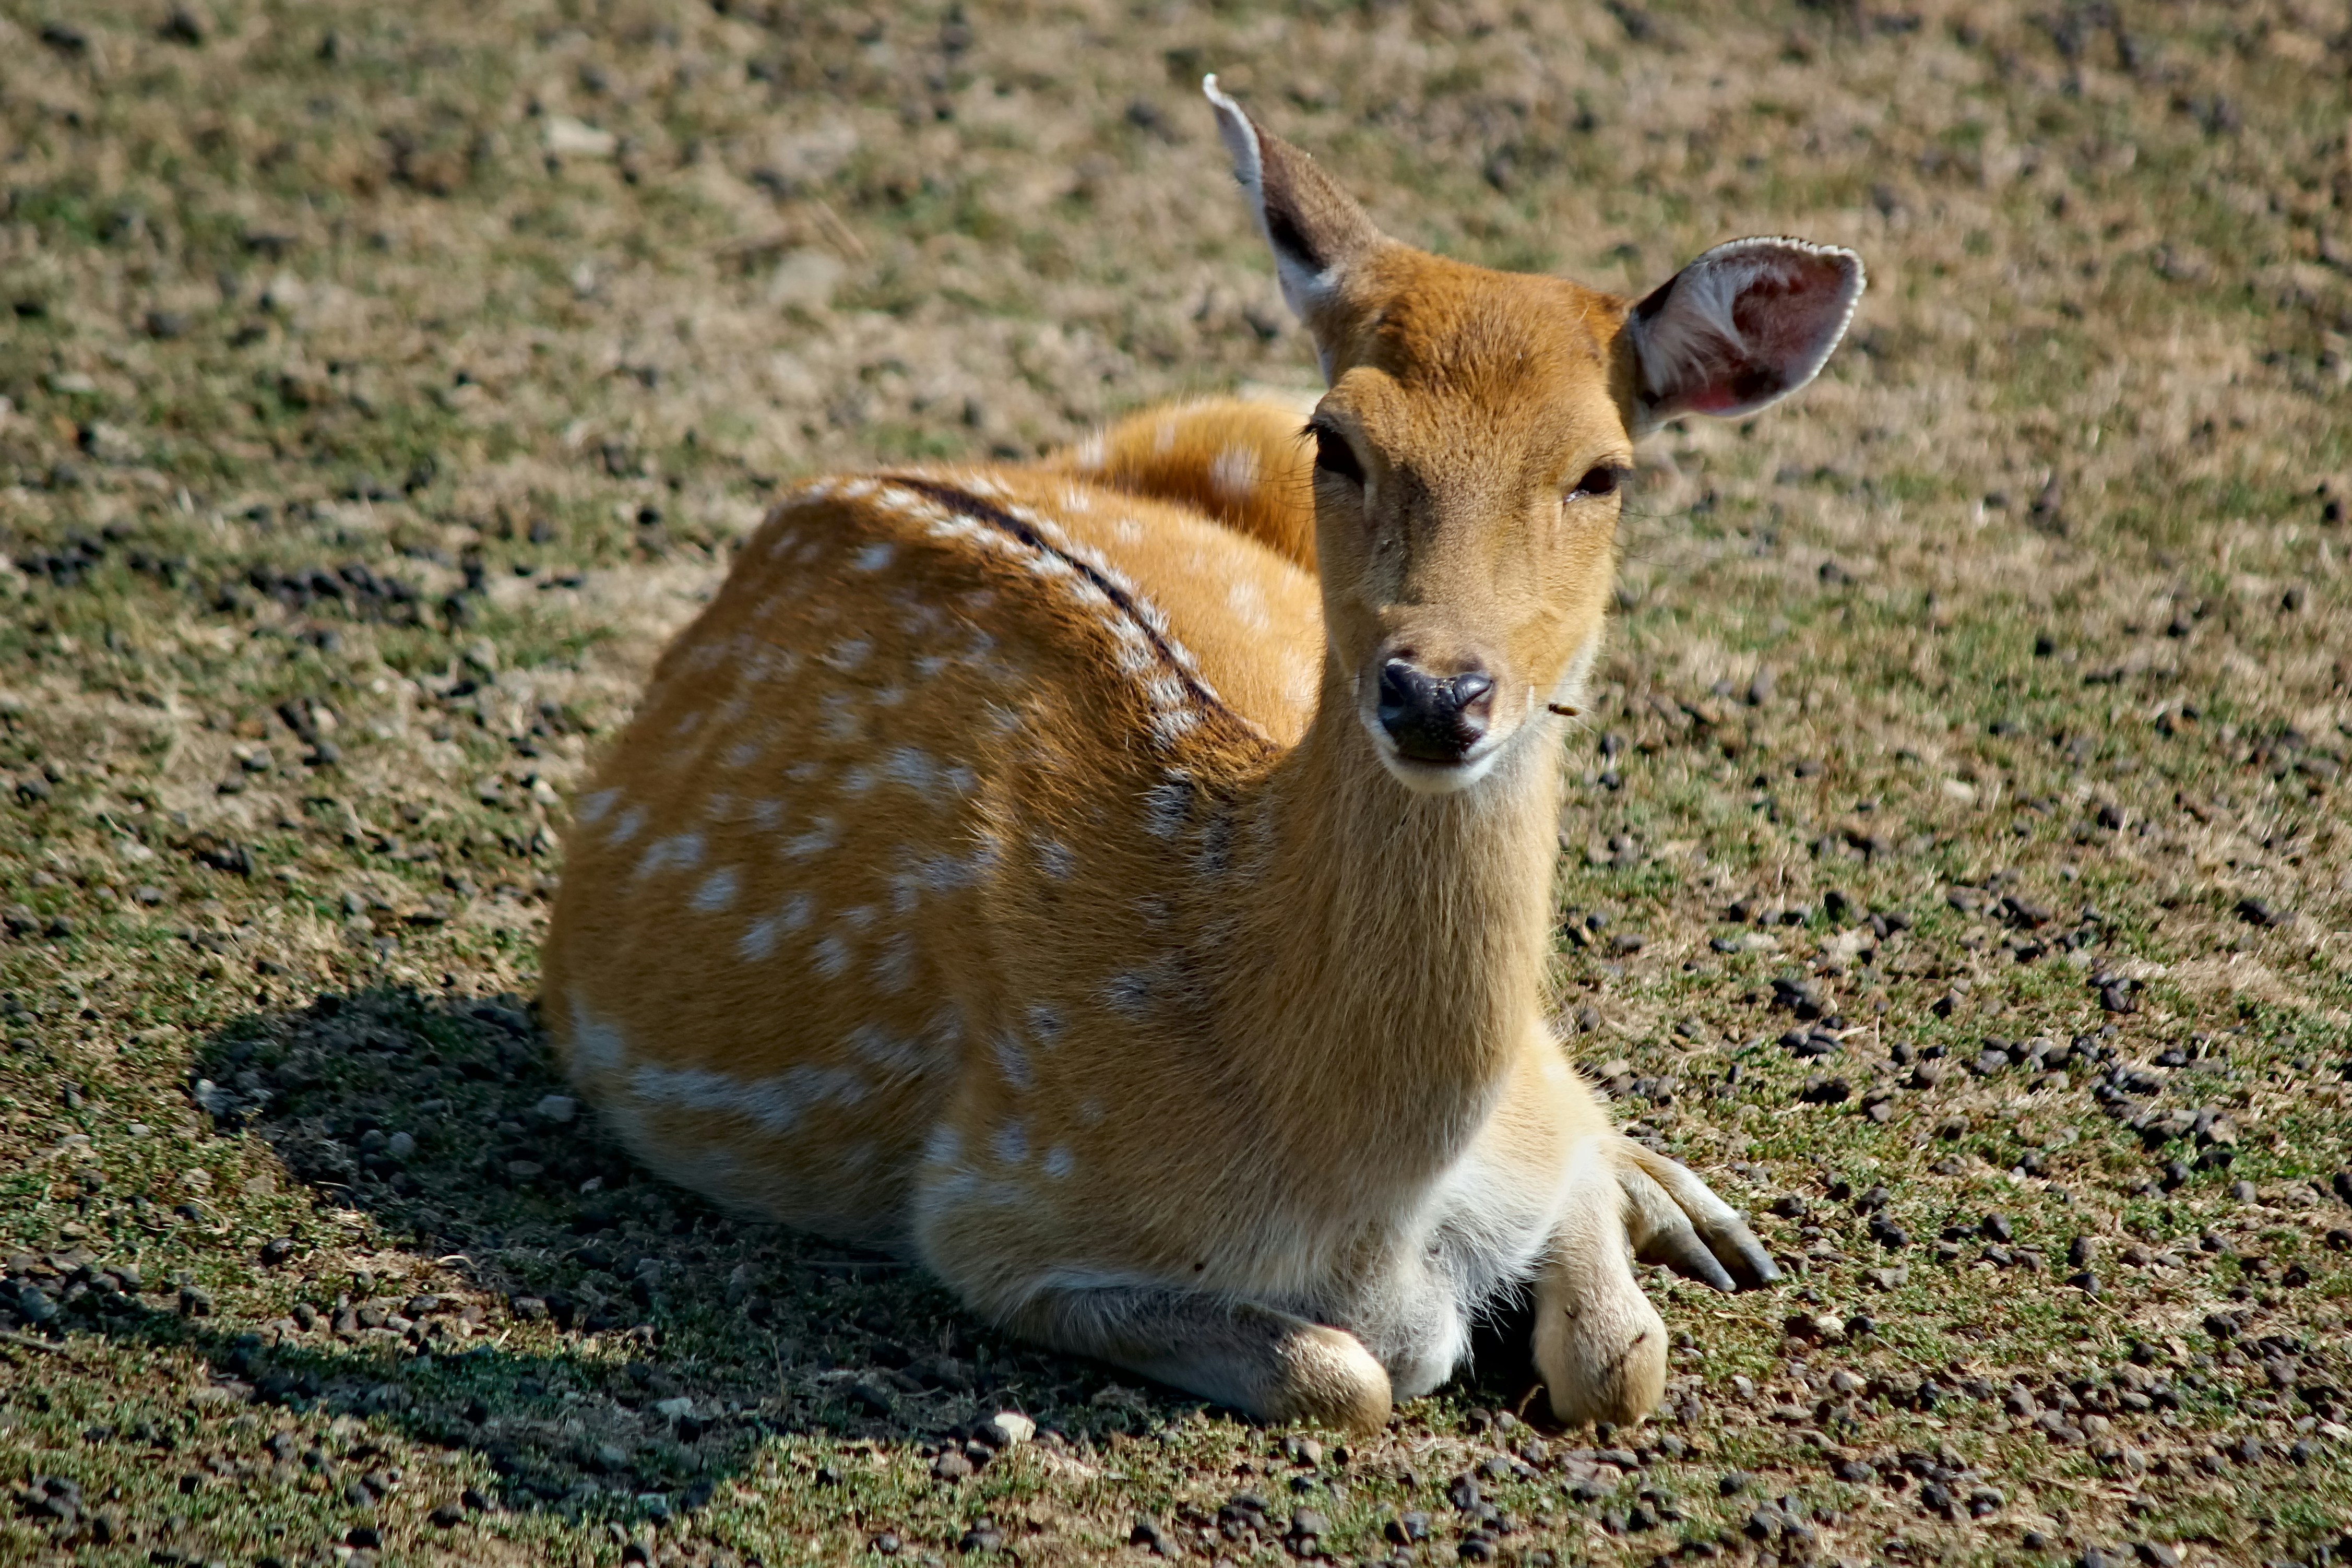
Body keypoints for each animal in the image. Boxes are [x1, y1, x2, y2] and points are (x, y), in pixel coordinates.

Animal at [542, 77, 1863, 1435]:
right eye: (1338, 438)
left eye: (1603, 472)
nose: (1434, 694)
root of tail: (827, 483)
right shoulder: (994, 1206)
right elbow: (1352, 1373)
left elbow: (1614, 1358)